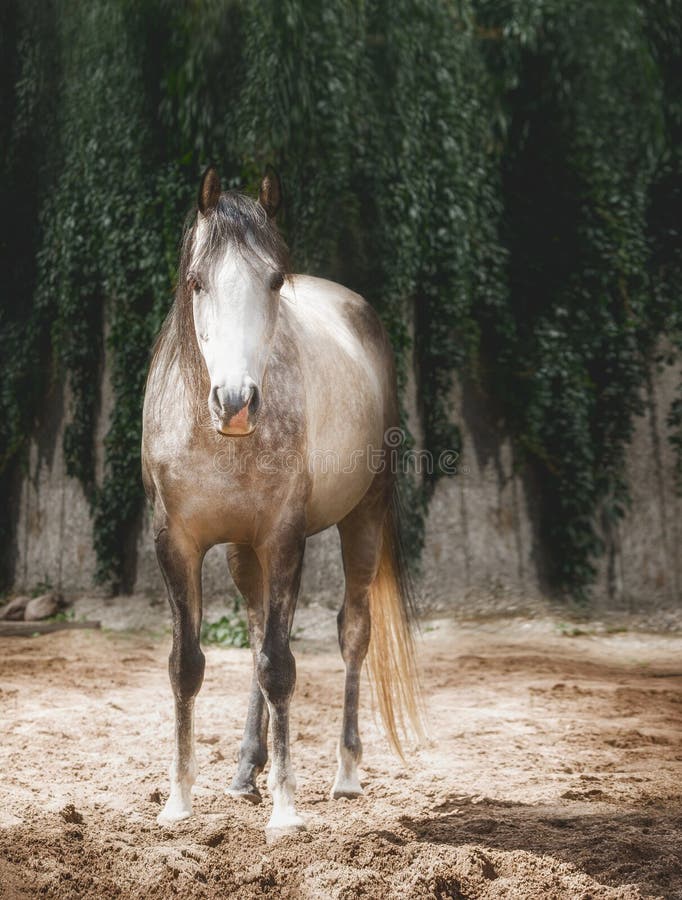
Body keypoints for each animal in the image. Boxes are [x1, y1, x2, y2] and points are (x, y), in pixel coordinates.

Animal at [141, 167, 422, 838]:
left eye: (273, 281)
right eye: (197, 281)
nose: (235, 402)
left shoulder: (284, 537)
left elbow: (280, 667)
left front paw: (287, 810)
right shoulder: (176, 543)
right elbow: (187, 664)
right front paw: (178, 803)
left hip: (363, 519)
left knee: (352, 632)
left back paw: (345, 774)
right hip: (245, 553)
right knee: (255, 633)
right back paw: (246, 770)